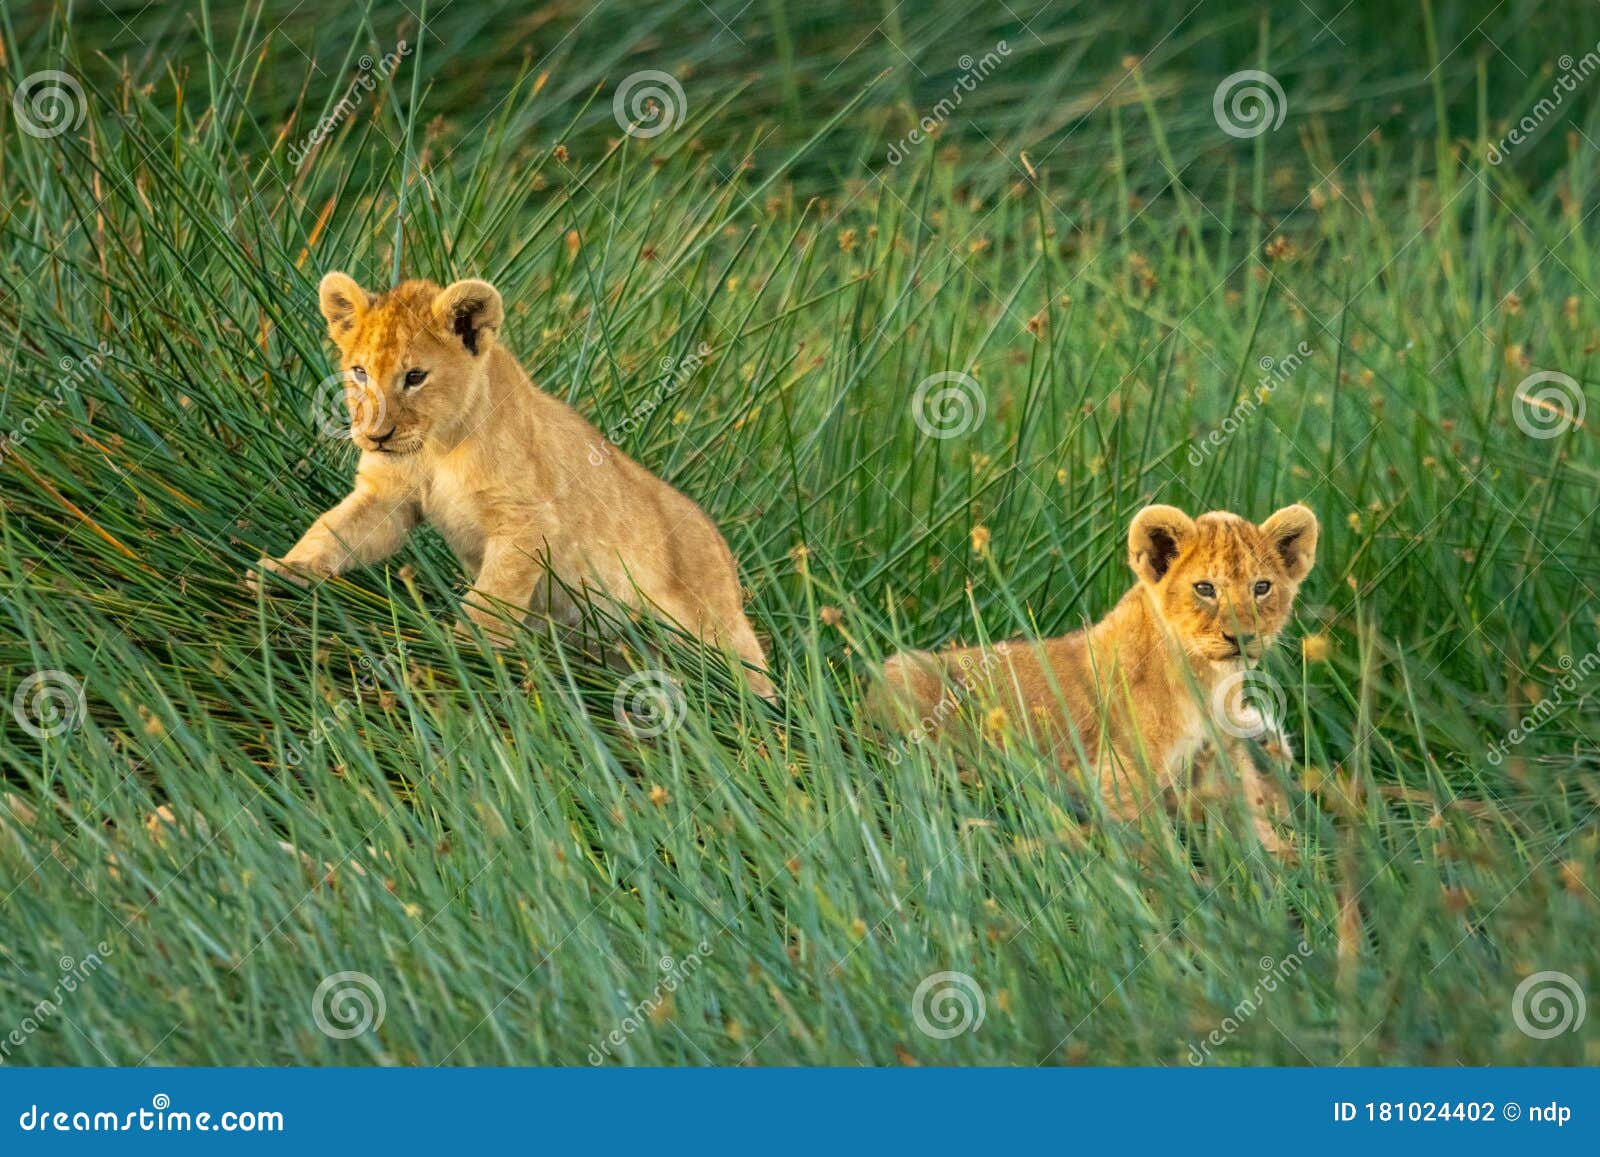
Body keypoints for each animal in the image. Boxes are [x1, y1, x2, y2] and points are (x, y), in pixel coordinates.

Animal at [250, 273, 774, 699]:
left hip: (716, 630)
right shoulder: (388, 498)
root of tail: (721, 546)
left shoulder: (526, 521)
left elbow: (492, 597)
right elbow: (333, 532)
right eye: (359, 372)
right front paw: (284, 571)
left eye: (415, 377)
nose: (375, 435)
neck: (436, 447)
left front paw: (465, 650)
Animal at [873, 504, 1319, 855]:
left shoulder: (1223, 759)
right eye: (1205, 588)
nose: (1241, 637)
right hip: (905, 677)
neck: (1207, 682)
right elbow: (1152, 847)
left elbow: (1253, 821)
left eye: (1262, 587)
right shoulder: (1120, 772)